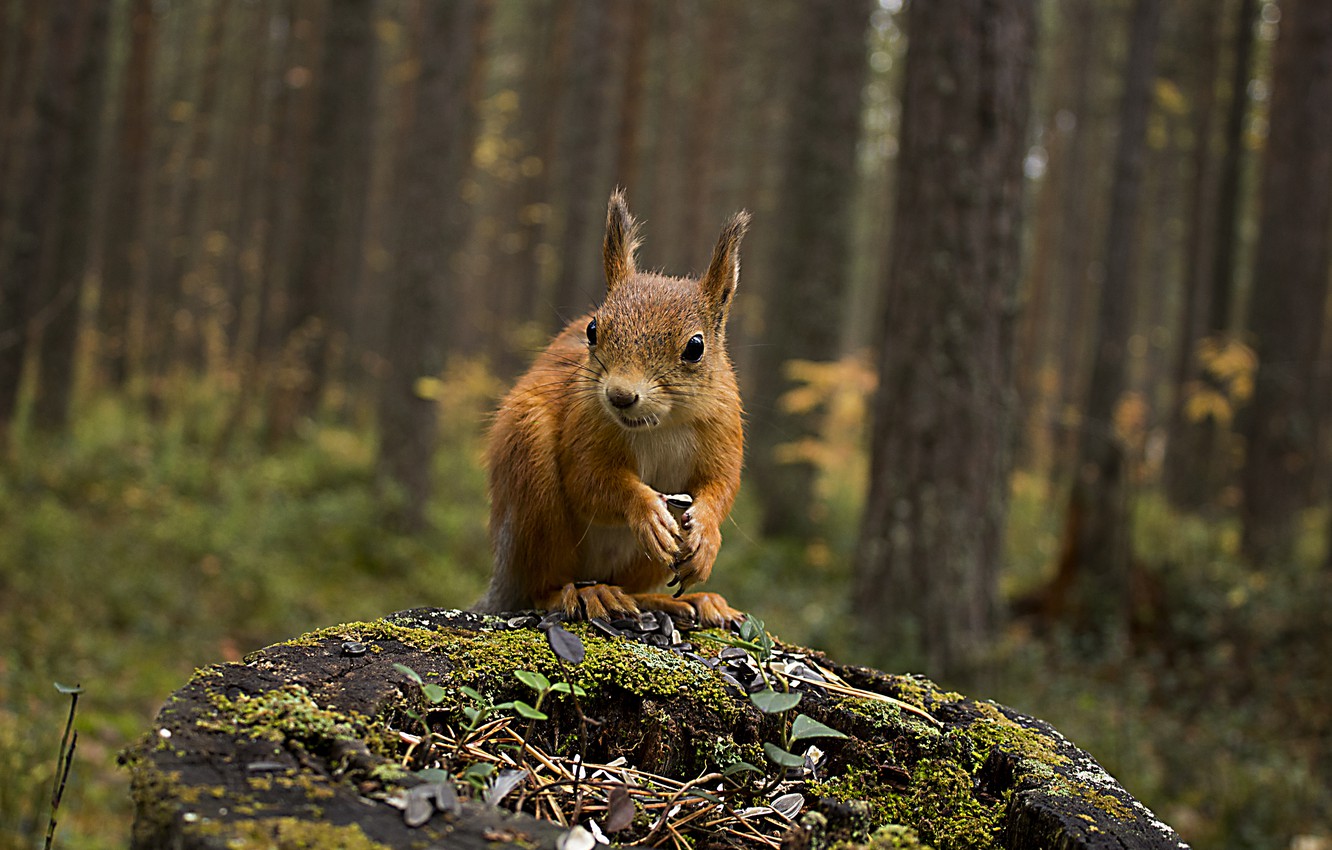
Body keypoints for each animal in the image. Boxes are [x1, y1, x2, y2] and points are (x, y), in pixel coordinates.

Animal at [475, 190, 749, 627]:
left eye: (695, 347)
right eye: (592, 329)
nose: (620, 395)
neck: (659, 425)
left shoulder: (723, 429)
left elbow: (721, 487)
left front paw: (706, 535)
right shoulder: (584, 424)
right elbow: (589, 482)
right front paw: (646, 510)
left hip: (642, 563)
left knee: (634, 588)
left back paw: (687, 601)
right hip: (532, 483)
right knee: (541, 587)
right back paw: (586, 593)